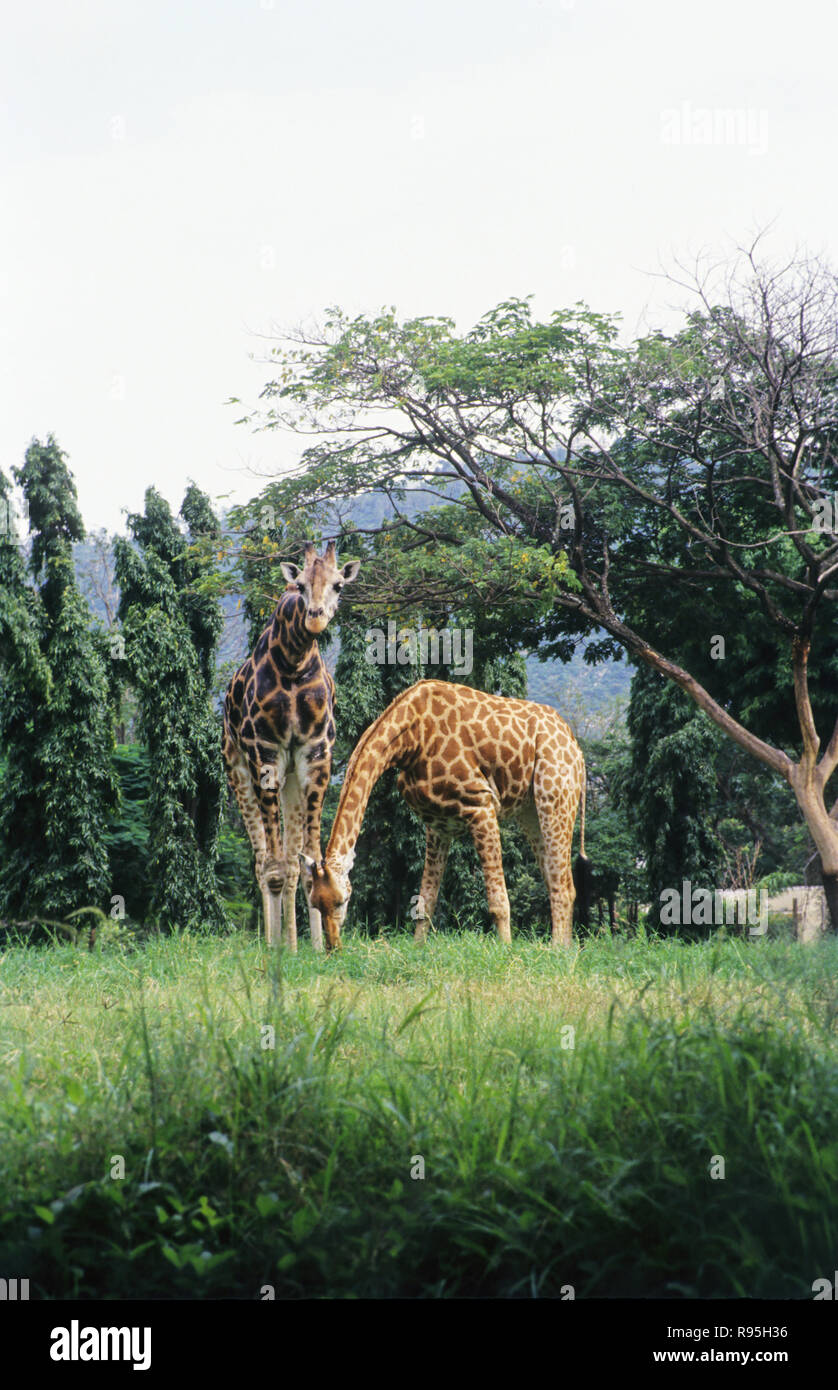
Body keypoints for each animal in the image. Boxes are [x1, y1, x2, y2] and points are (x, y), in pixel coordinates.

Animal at [223, 541, 360, 949]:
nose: (315, 618)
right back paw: (278, 943)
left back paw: (296, 945)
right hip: (238, 768)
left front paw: (314, 947)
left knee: (291, 859)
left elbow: (307, 858)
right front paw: (274, 949)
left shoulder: (315, 754)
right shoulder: (264, 752)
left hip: (292, 779)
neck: (294, 661)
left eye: (338, 586)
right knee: (263, 861)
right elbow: (274, 868)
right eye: (299, 586)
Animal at [300, 679, 588, 950]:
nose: (333, 948)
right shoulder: (438, 824)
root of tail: (576, 747)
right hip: (530, 811)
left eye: (342, 900)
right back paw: (565, 948)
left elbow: (498, 901)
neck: (410, 738)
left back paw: (556, 950)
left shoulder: (481, 805)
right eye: (315, 903)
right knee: (560, 879)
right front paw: (417, 949)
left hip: (555, 792)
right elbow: (425, 902)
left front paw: (506, 951)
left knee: (562, 884)